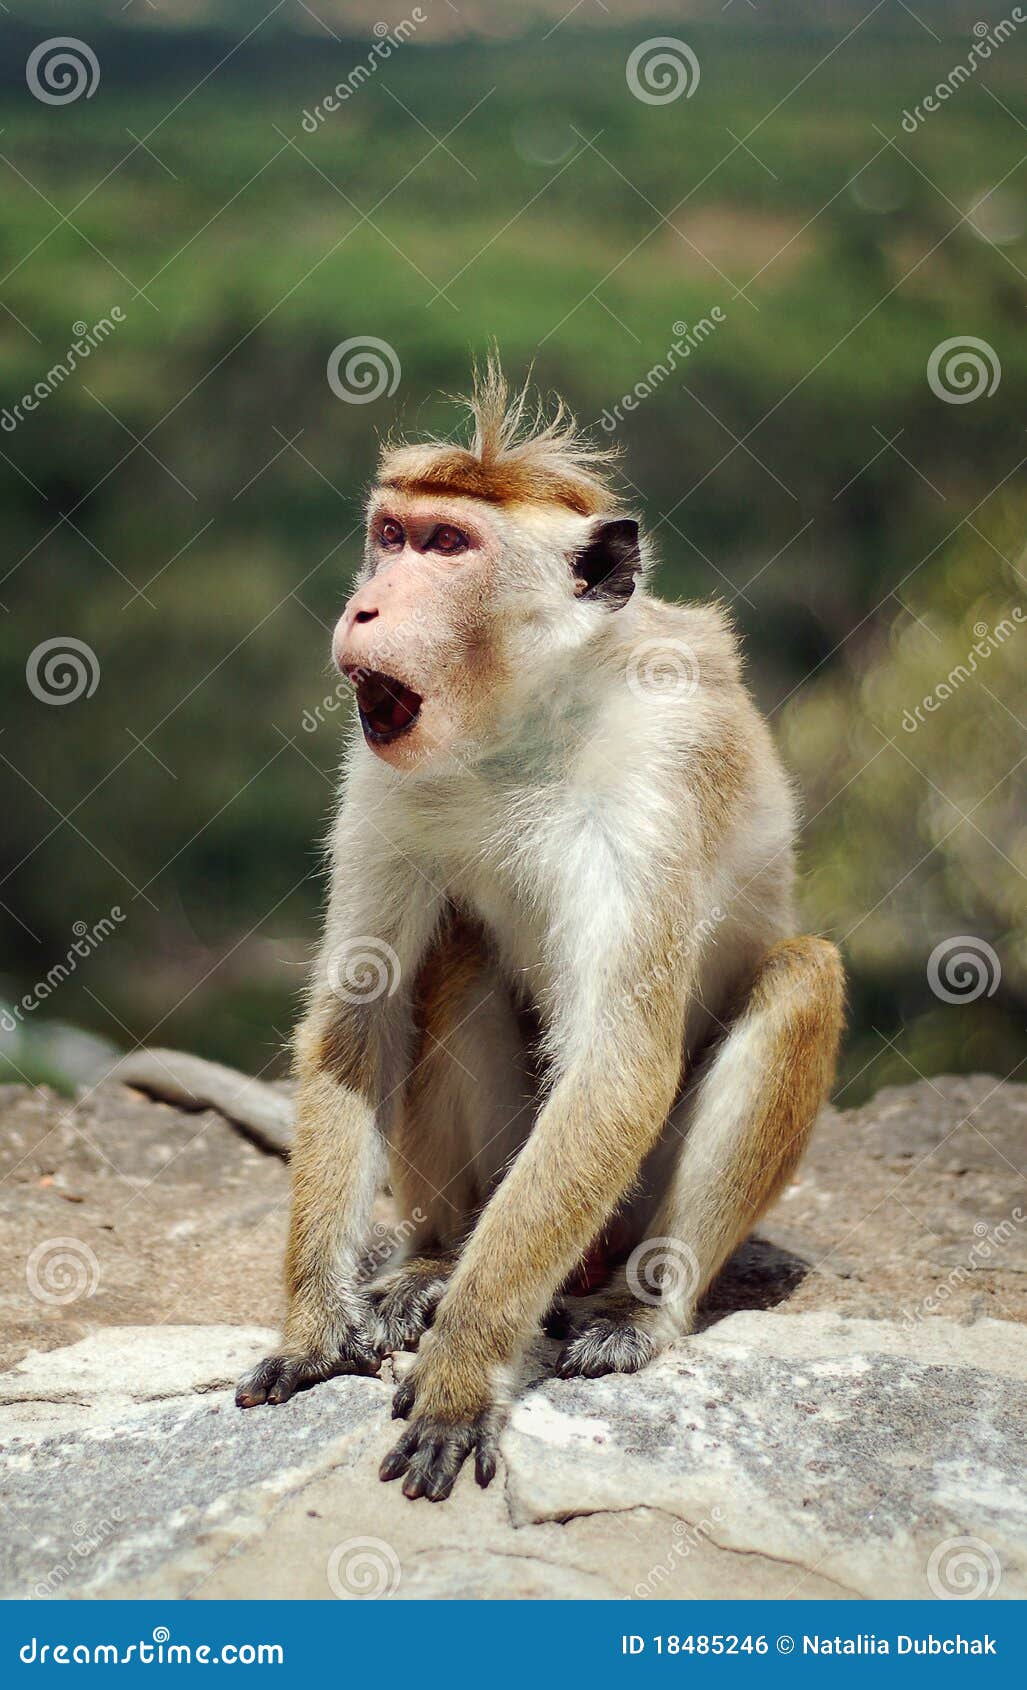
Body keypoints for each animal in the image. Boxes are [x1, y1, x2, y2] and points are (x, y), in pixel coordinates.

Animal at [121, 358, 843, 1503]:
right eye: (392, 533)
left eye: (450, 546)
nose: (364, 603)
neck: (523, 719)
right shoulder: (381, 766)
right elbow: (360, 1015)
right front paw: (312, 1326)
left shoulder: (662, 763)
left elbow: (617, 1064)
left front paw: (462, 1370)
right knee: (452, 957)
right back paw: (431, 1258)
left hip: (623, 1208)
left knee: (799, 973)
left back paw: (635, 1304)